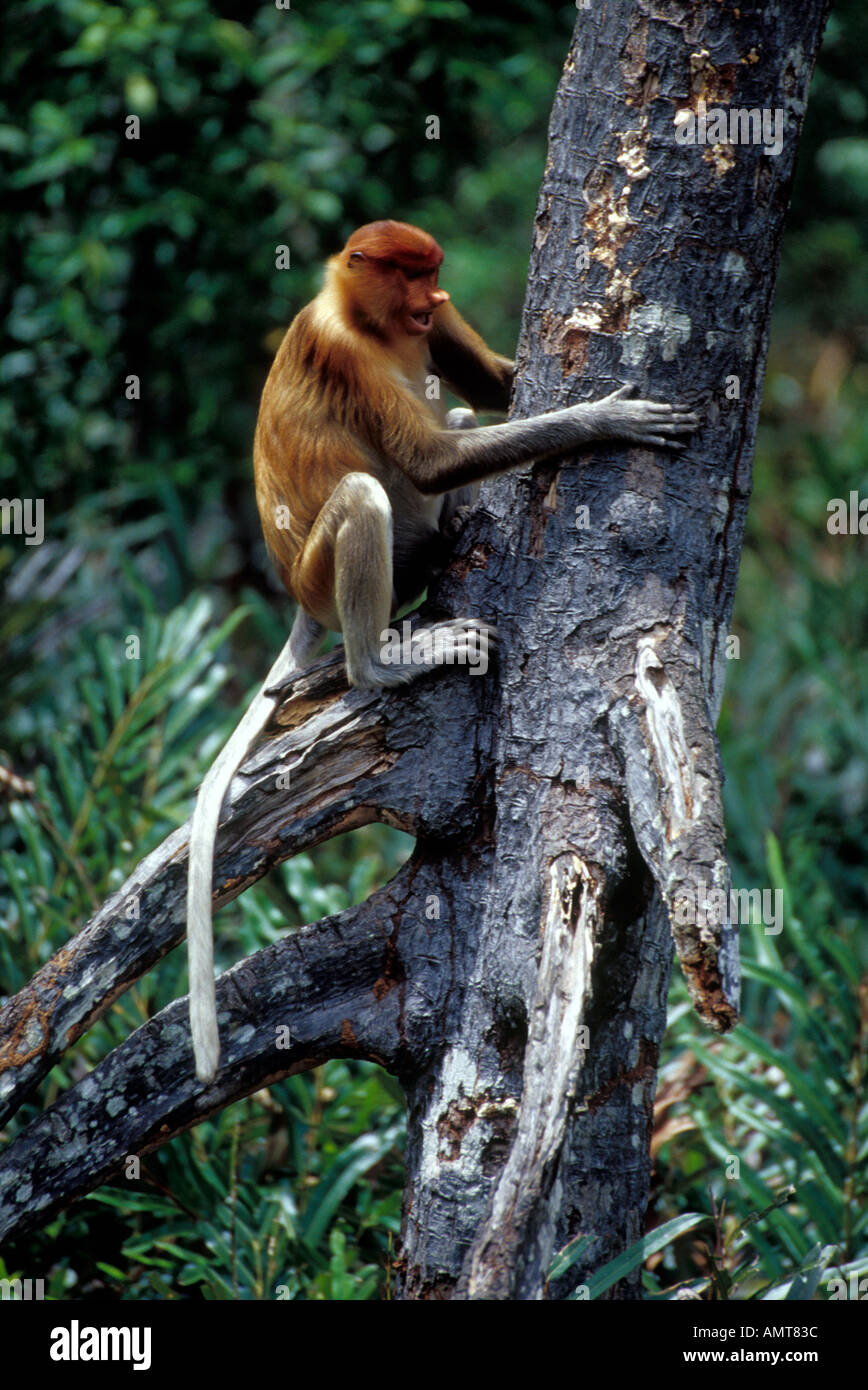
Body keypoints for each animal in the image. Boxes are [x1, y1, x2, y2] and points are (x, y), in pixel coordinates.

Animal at [187, 219, 698, 1083]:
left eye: (434, 272)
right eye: (407, 273)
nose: (434, 299)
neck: (363, 317)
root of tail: (297, 594)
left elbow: (490, 386)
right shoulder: (345, 354)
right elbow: (428, 459)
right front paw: (608, 418)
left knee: (457, 417)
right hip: (334, 570)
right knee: (371, 491)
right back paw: (383, 660)